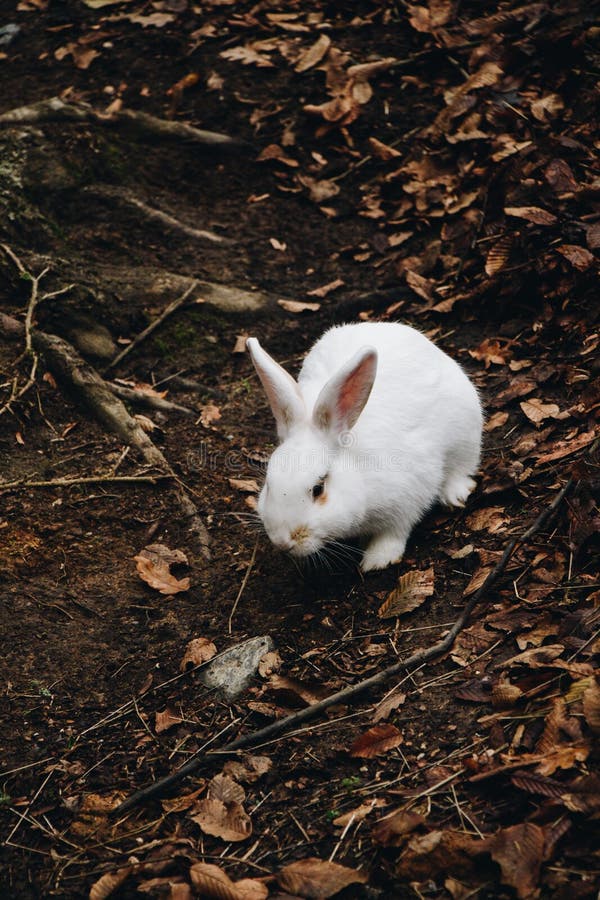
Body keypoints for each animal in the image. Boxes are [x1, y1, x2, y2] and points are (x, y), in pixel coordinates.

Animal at [246, 322, 483, 572]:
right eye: (268, 485)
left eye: (319, 488)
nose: (282, 541)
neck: (359, 473)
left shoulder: (409, 495)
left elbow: (395, 531)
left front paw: (378, 559)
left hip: (466, 432)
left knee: (461, 467)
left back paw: (455, 494)